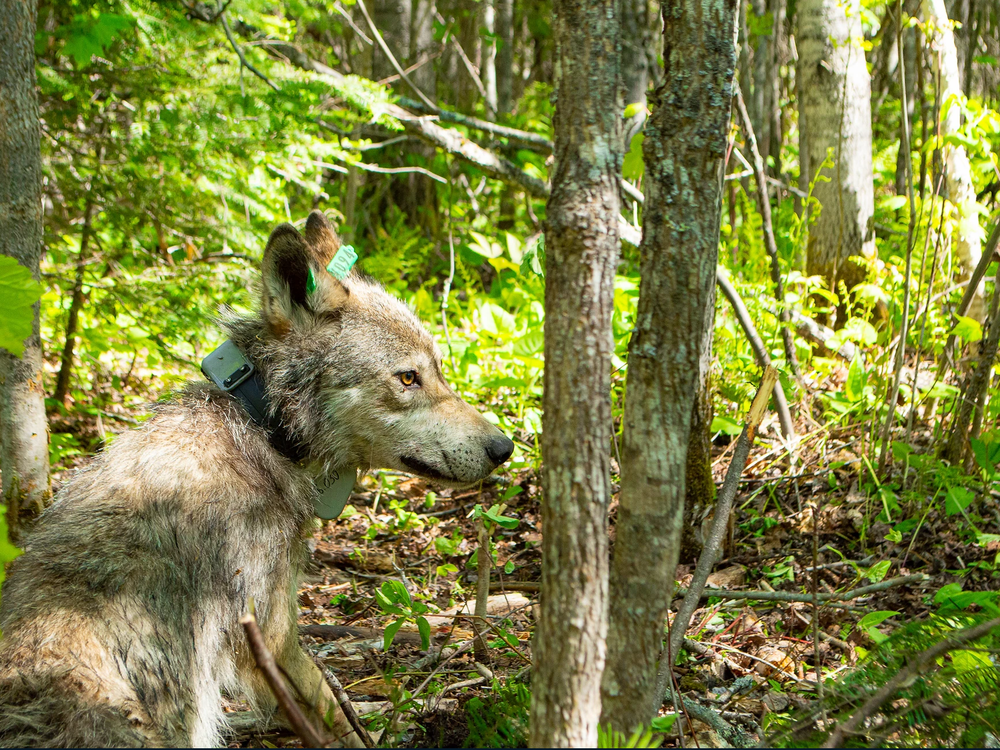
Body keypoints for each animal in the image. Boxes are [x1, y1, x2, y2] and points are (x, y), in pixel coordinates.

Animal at [0, 211, 514, 747]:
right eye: (409, 378)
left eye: (439, 372)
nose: (504, 448)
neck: (263, 430)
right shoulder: (270, 632)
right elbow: (336, 715)